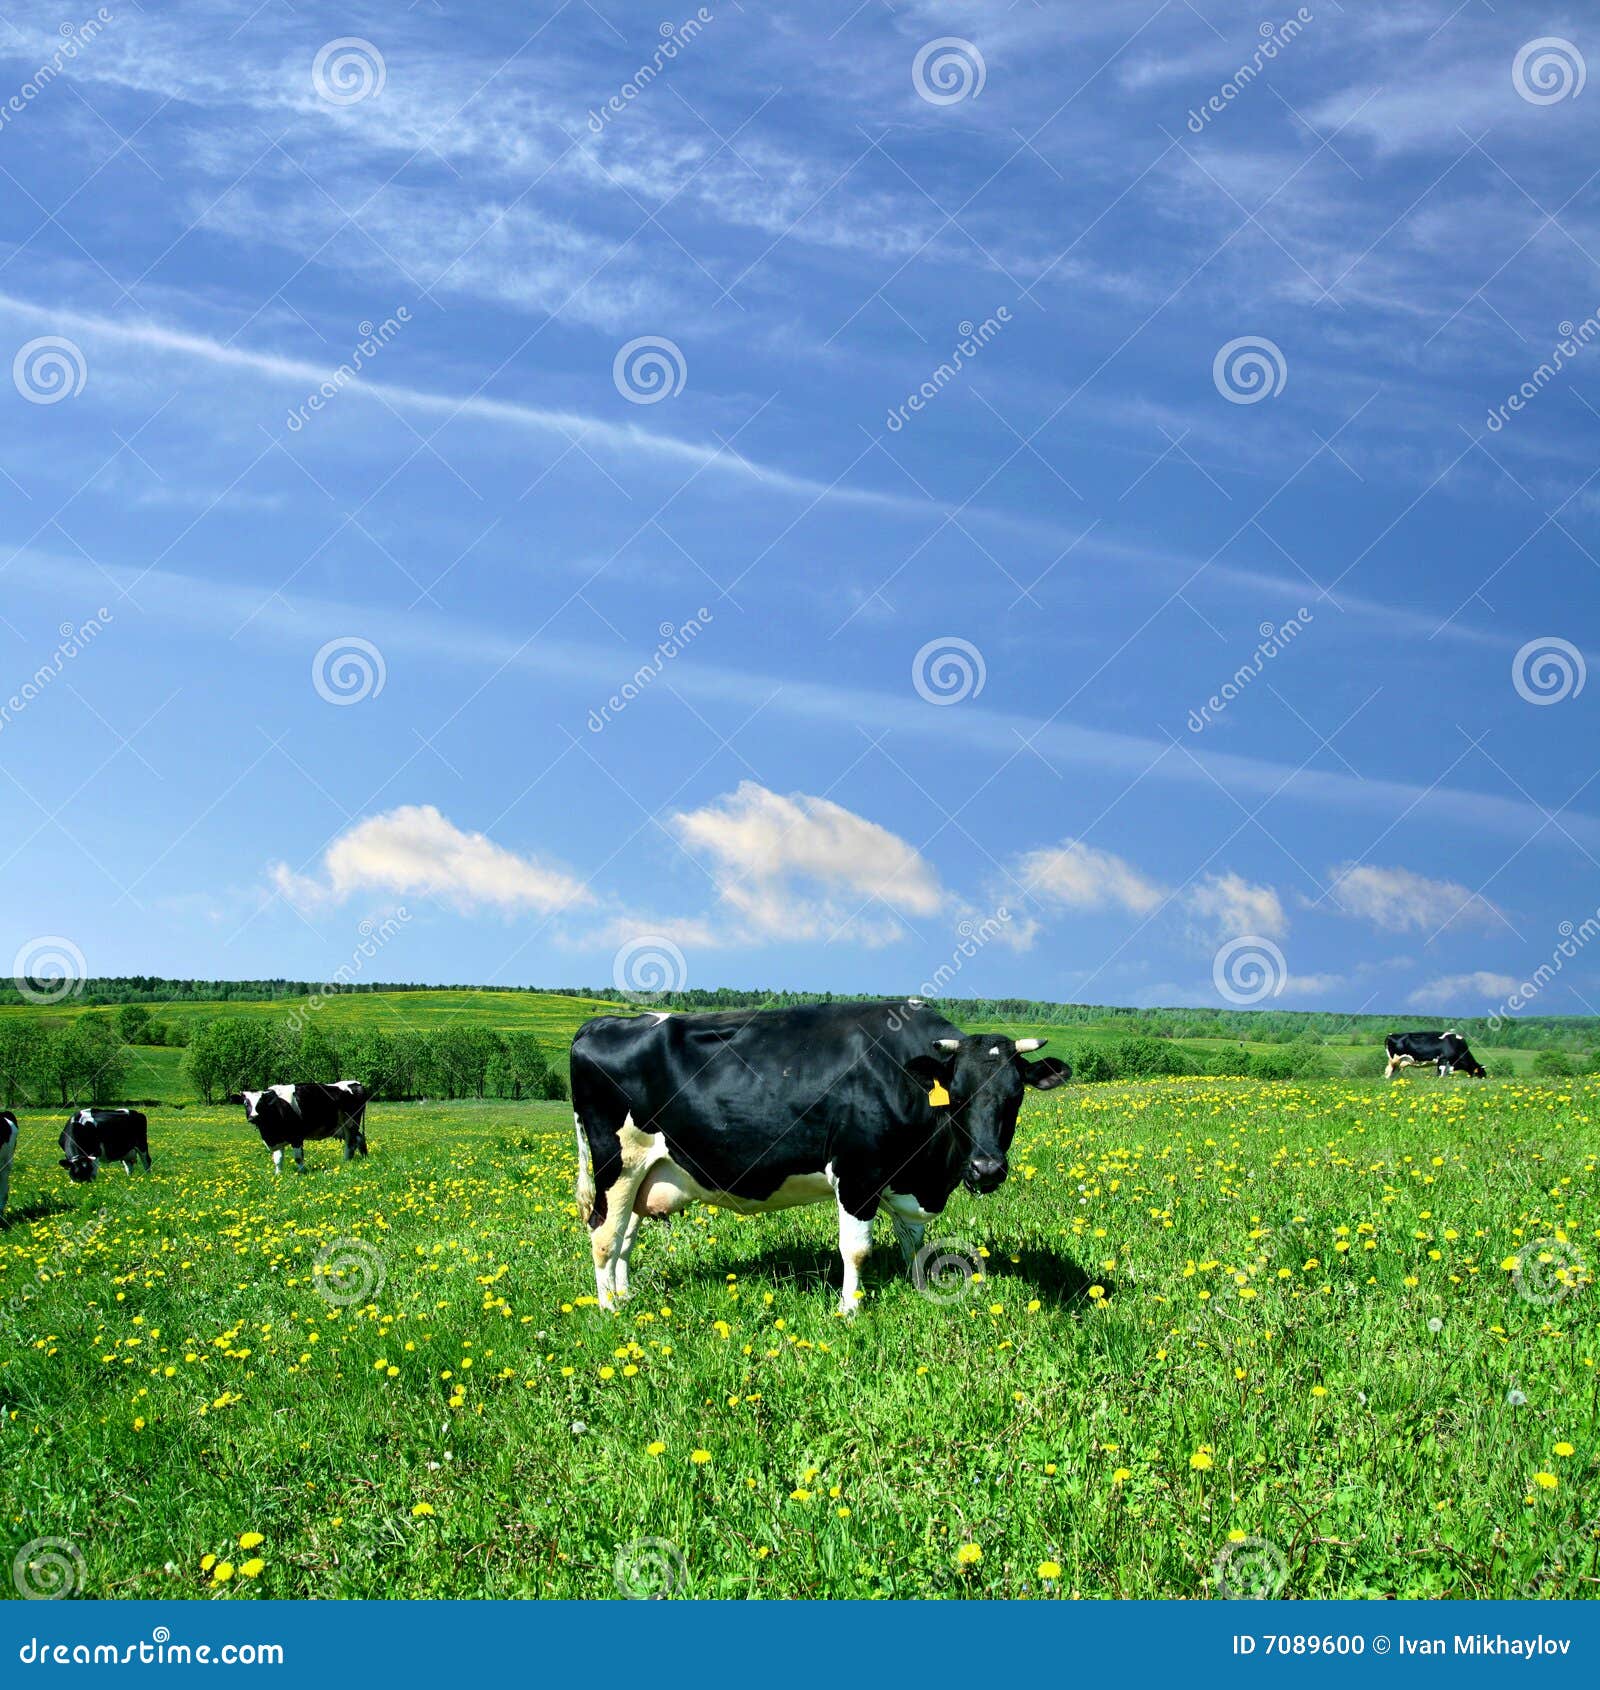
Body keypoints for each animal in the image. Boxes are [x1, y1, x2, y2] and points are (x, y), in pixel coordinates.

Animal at [233, 1081, 370, 1172]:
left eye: (261, 1103)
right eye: (246, 1103)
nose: (253, 1117)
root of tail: (356, 1083)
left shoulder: (296, 1137)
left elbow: (298, 1158)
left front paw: (302, 1172)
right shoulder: (276, 1139)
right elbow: (278, 1159)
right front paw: (278, 1175)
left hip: (351, 1124)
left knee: (351, 1143)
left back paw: (347, 1161)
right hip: (343, 1127)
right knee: (359, 1138)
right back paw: (361, 1158)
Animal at [570, 1000, 1072, 1315]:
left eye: (1015, 1096)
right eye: (959, 1095)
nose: (987, 1169)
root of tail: (600, 1024)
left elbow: (913, 1241)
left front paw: (922, 1287)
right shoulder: (857, 1174)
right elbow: (857, 1249)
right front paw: (849, 1309)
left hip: (645, 1173)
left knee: (624, 1238)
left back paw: (627, 1297)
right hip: (617, 1162)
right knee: (603, 1235)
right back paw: (610, 1309)